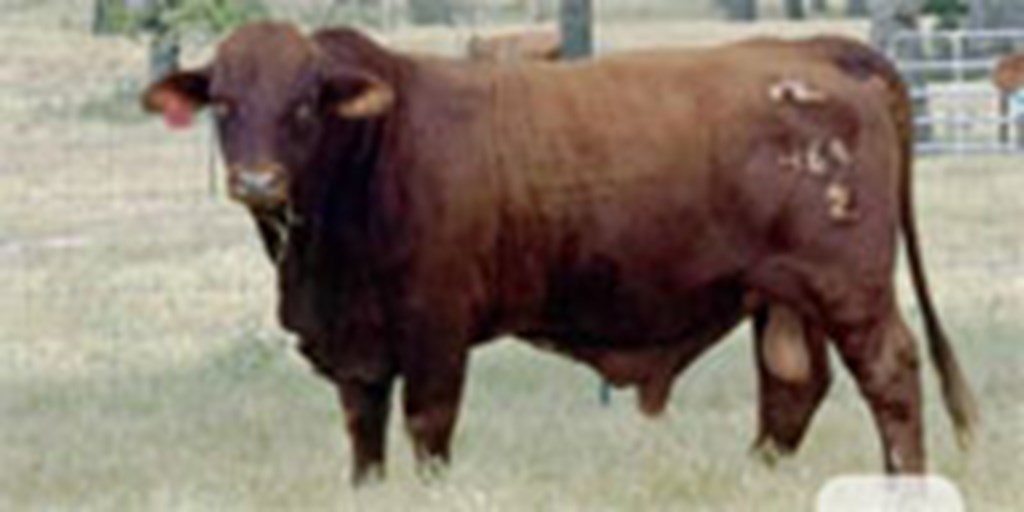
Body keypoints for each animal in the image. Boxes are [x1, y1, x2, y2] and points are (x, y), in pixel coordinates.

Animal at [142, 22, 977, 484]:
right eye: (223, 103)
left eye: (305, 102)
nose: (256, 181)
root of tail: (814, 52)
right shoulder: (359, 350)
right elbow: (364, 442)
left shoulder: (437, 330)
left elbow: (428, 432)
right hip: (783, 295)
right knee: (792, 389)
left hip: (849, 286)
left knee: (890, 376)